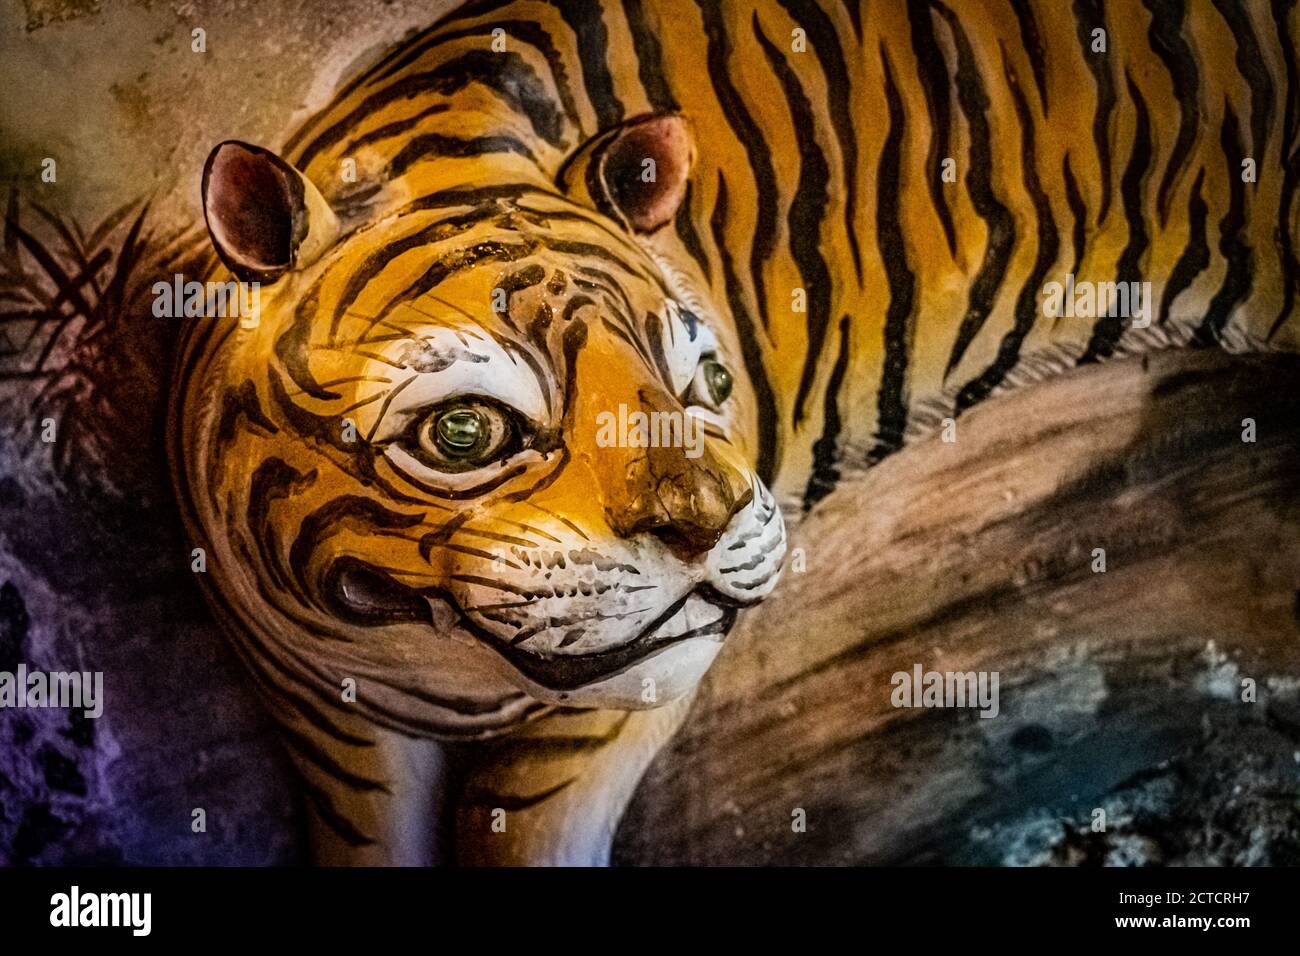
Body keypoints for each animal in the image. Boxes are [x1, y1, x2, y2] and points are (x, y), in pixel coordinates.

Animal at [168, 0, 1299, 865]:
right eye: (462, 432)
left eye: (705, 382)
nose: (706, 525)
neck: (438, 659)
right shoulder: (326, 713)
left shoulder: (596, 720)